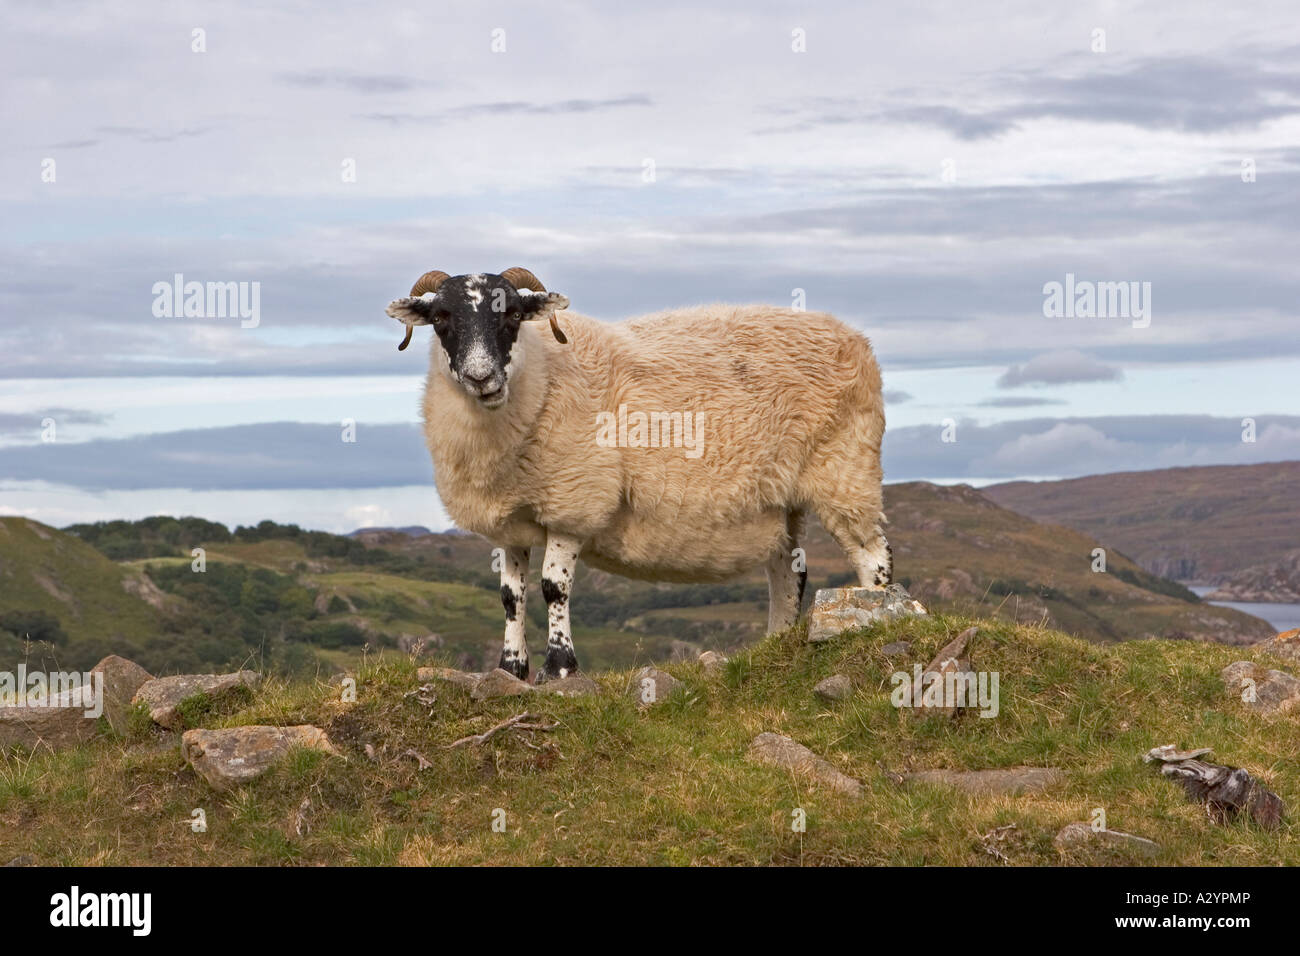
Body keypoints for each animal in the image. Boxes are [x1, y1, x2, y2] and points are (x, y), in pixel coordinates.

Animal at [386, 267, 891, 683]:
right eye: (442, 317)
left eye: (511, 314)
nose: (481, 378)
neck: (543, 375)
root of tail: (854, 337)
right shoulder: (511, 521)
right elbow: (512, 596)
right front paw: (510, 669)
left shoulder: (575, 500)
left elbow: (553, 588)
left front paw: (560, 669)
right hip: (781, 500)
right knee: (788, 573)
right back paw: (775, 646)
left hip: (845, 467)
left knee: (873, 556)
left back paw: (882, 619)